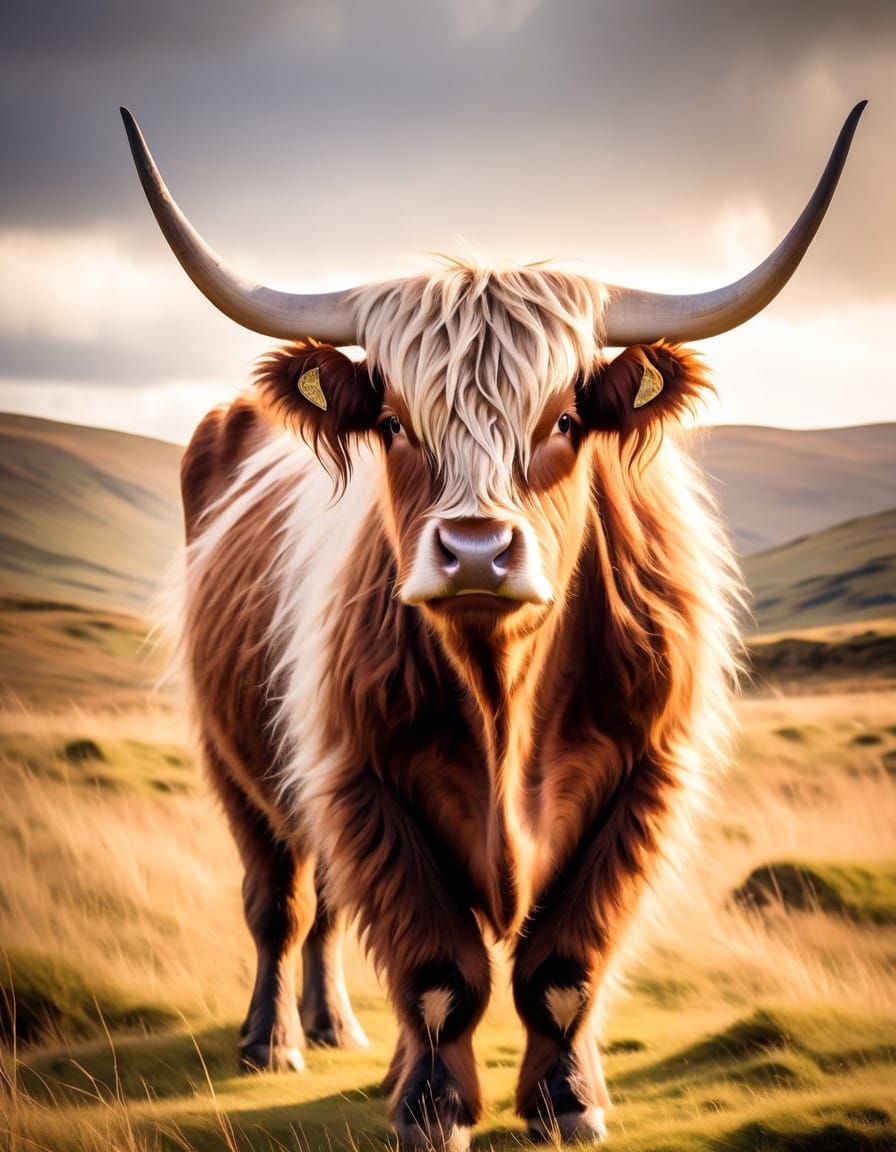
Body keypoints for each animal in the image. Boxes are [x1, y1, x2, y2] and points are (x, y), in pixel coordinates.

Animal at [122, 103, 865, 1148]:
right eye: (394, 422)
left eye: (564, 420)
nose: (475, 550)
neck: (505, 699)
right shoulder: (363, 774)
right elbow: (439, 971)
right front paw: (432, 1108)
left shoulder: (642, 777)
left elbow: (562, 968)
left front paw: (571, 1101)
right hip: (236, 762)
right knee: (284, 904)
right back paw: (277, 1041)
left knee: (334, 914)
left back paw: (339, 1029)